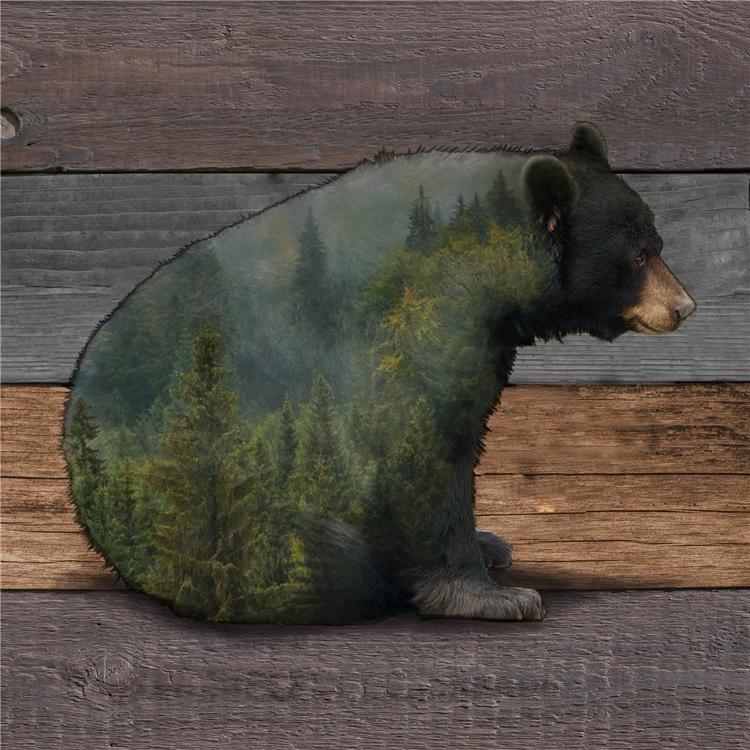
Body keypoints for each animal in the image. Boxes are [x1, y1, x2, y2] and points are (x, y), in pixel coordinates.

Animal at [64, 123, 696, 624]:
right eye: (637, 256)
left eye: (658, 241)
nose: (684, 306)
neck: (480, 263)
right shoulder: (425, 325)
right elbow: (420, 449)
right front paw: (495, 596)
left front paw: (488, 543)